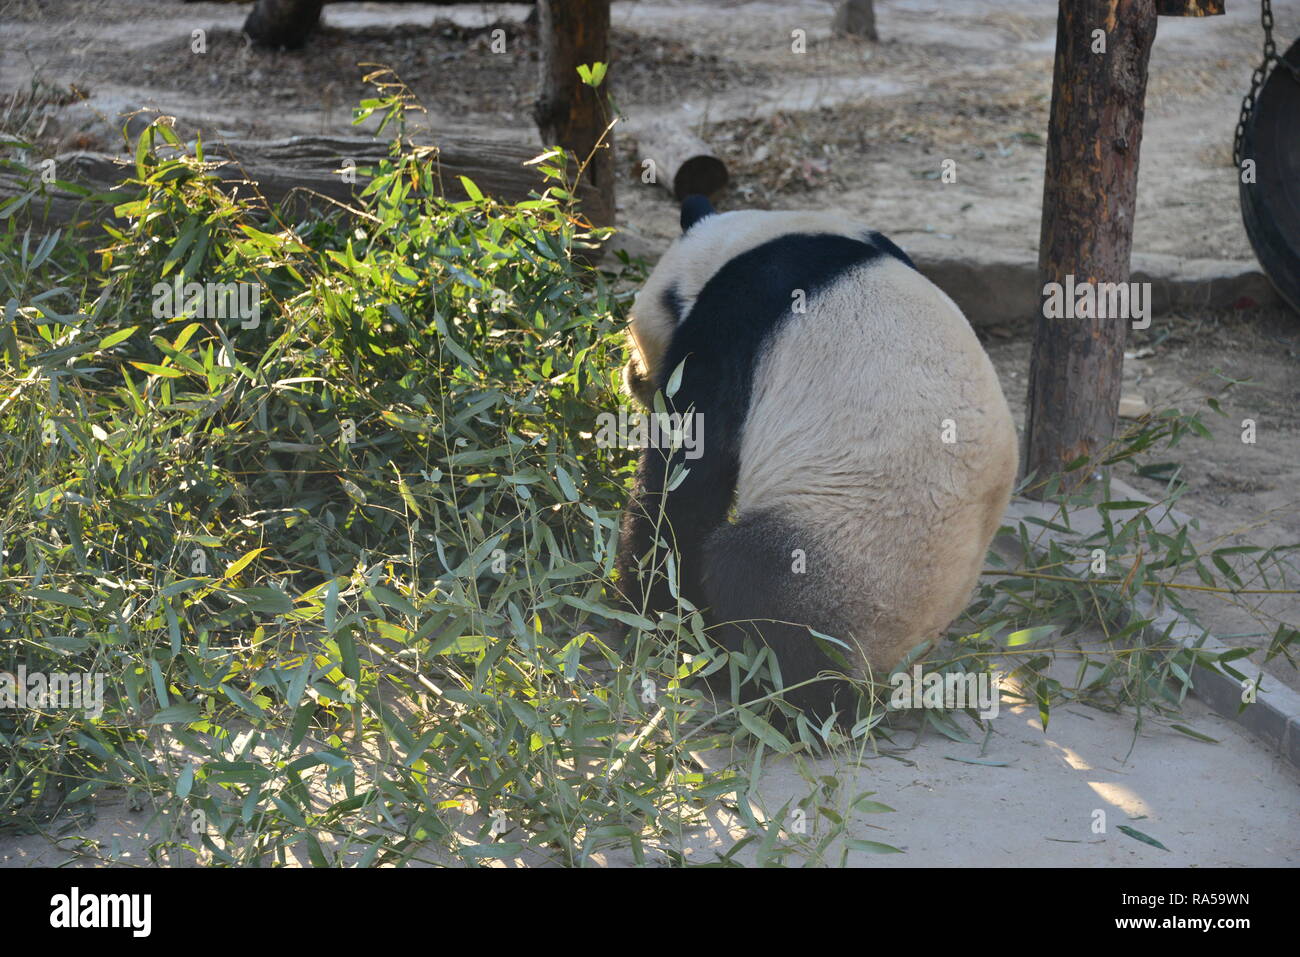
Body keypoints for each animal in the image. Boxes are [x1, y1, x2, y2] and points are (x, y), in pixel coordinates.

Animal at [614, 196, 1019, 723]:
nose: (632, 375)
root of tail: (888, 670)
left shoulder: (739, 316)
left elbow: (689, 468)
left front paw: (647, 610)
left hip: (847, 560)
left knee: (751, 579)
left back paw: (752, 676)